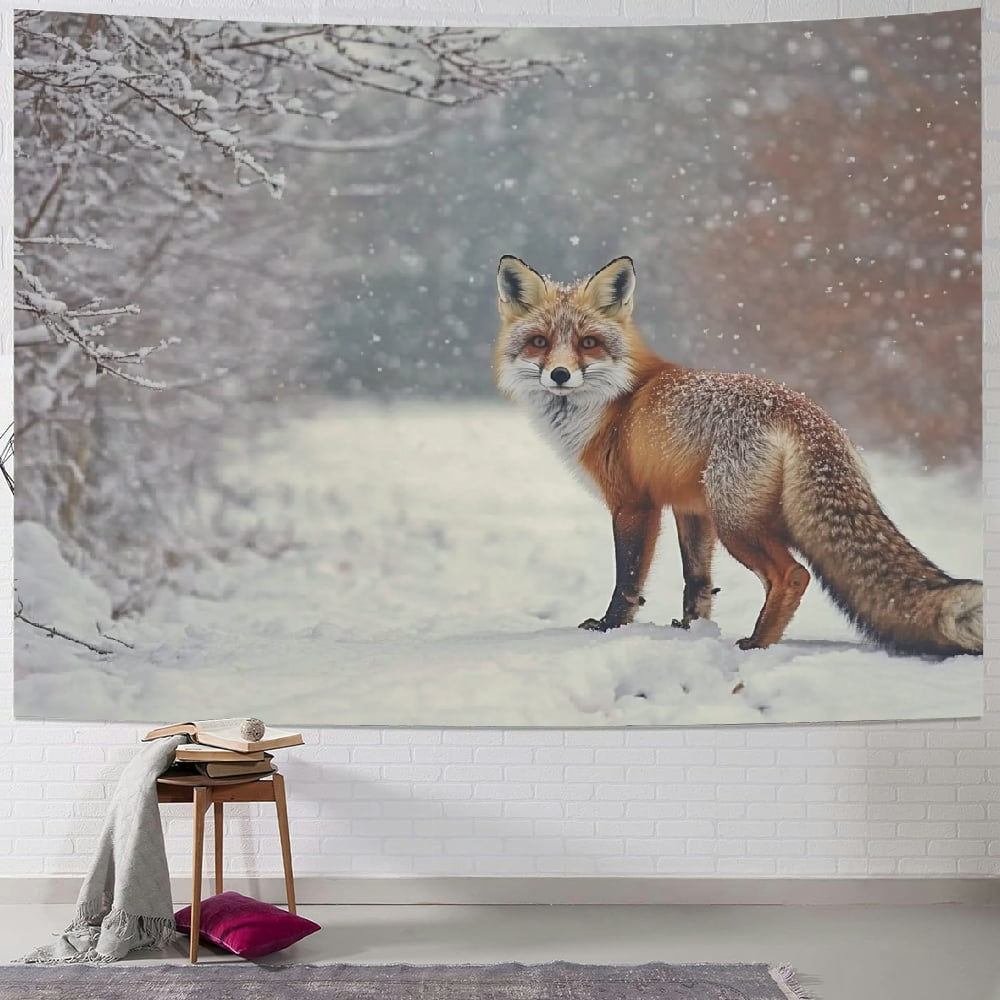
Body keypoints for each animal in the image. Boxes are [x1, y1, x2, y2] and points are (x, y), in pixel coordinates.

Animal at [493, 254, 983, 658]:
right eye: (539, 342)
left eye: (589, 343)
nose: (560, 375)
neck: (617, 401)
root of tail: (805, 413)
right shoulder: (690, 509)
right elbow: (697, 581)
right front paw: (691, 630)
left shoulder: (634, 504)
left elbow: (628, 578)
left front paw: (610, 627)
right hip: (728, 513)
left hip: (737, 522)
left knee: (793, 575)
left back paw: (757, 643)